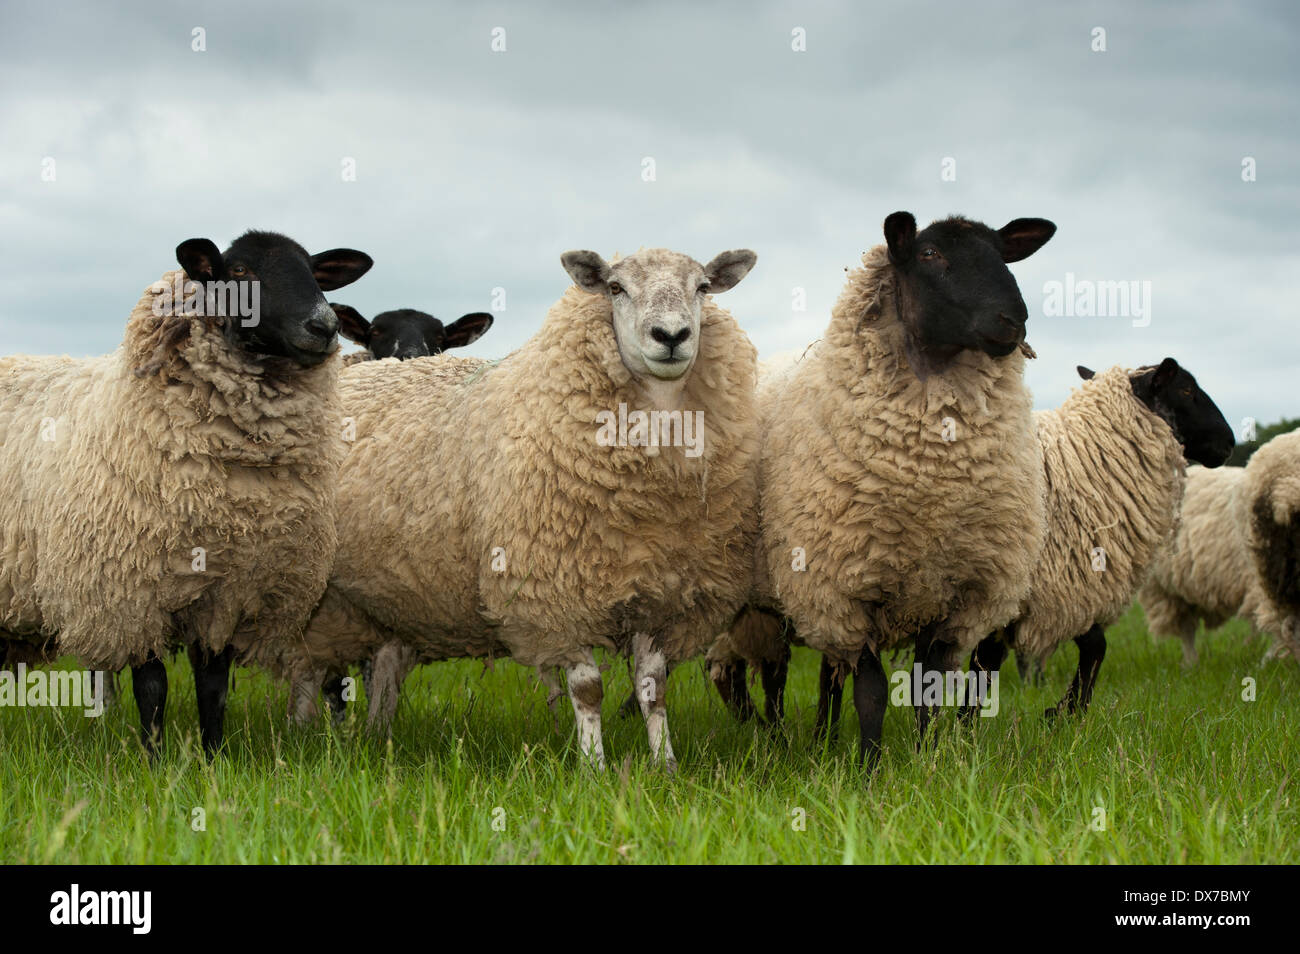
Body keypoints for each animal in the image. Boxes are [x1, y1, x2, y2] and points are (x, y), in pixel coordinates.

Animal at [0, 231, 372, 754]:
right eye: (239, 271)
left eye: (312, 270)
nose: (323, 325)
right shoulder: (133, 590)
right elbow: (152, 686)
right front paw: (154, 757)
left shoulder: (229, 590)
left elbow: (212, 685)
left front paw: (214, 756)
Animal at [290, 246, 760, 768]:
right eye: (615, 288)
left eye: (703, 287)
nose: (672, 336)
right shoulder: (555, 593)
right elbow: (588, 690)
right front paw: (593, 767)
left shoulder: (665, 599)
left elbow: (653, 690)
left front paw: (665, 766)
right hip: (318, 595)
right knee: (308, 673)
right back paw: (303, 737)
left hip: (388, 600)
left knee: (385, 669)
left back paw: (377, 738)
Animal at [738, 211, 1055, 769]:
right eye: (929, 254)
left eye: (1001, 253)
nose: (1013, 321)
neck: (933, 485)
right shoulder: (847, 588)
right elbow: (871, 693)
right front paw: (869, 767)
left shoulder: (956, 595)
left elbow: (929, 690)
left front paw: (929, 761)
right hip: (782, 601)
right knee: (778, 678)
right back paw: (781, 741)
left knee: (827, 675)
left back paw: (822, 740)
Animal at [958, 360, 1234, 715]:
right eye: (1186, 389)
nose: (1230, 441)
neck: (1078, 459)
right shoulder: (1052, 586)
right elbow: (1093, 646)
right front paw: (1065, 711)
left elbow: (988, 661)